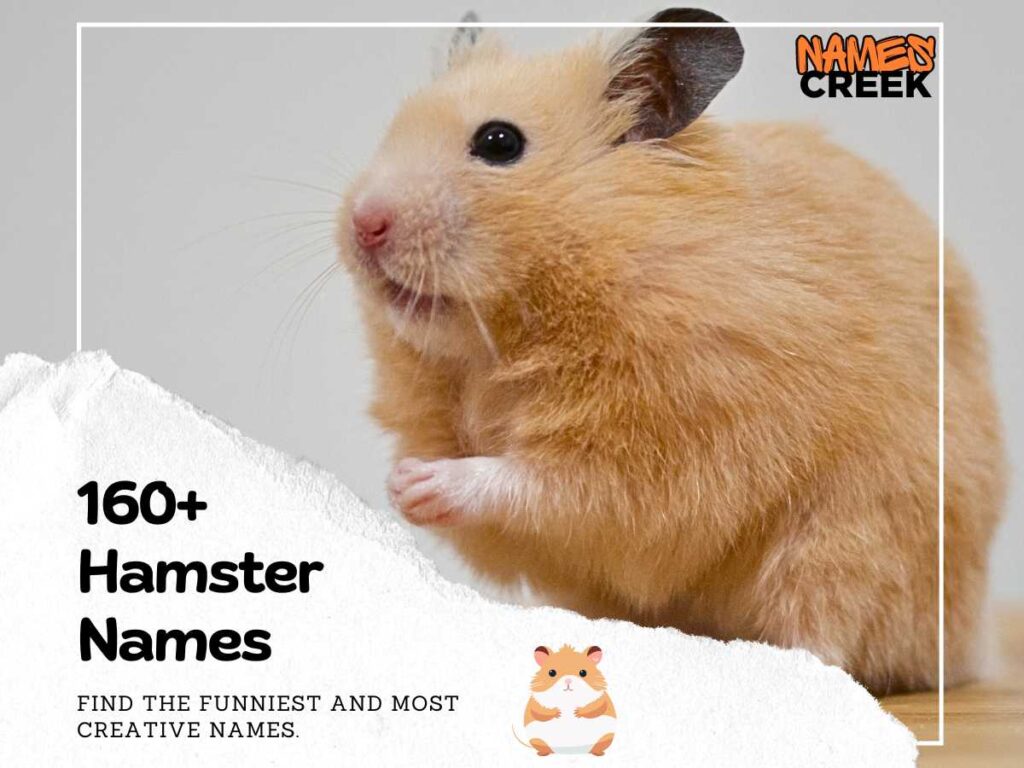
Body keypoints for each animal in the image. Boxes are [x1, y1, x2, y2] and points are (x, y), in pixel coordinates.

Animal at [336, 8, 1005, 694]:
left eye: (499, 143)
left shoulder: (660, 445)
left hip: (851, 540)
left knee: (826, 633)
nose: (363, 224)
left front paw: (417, 483)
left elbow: (538, 483)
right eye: (393, 130)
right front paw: (396, 484)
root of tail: (966, 644)